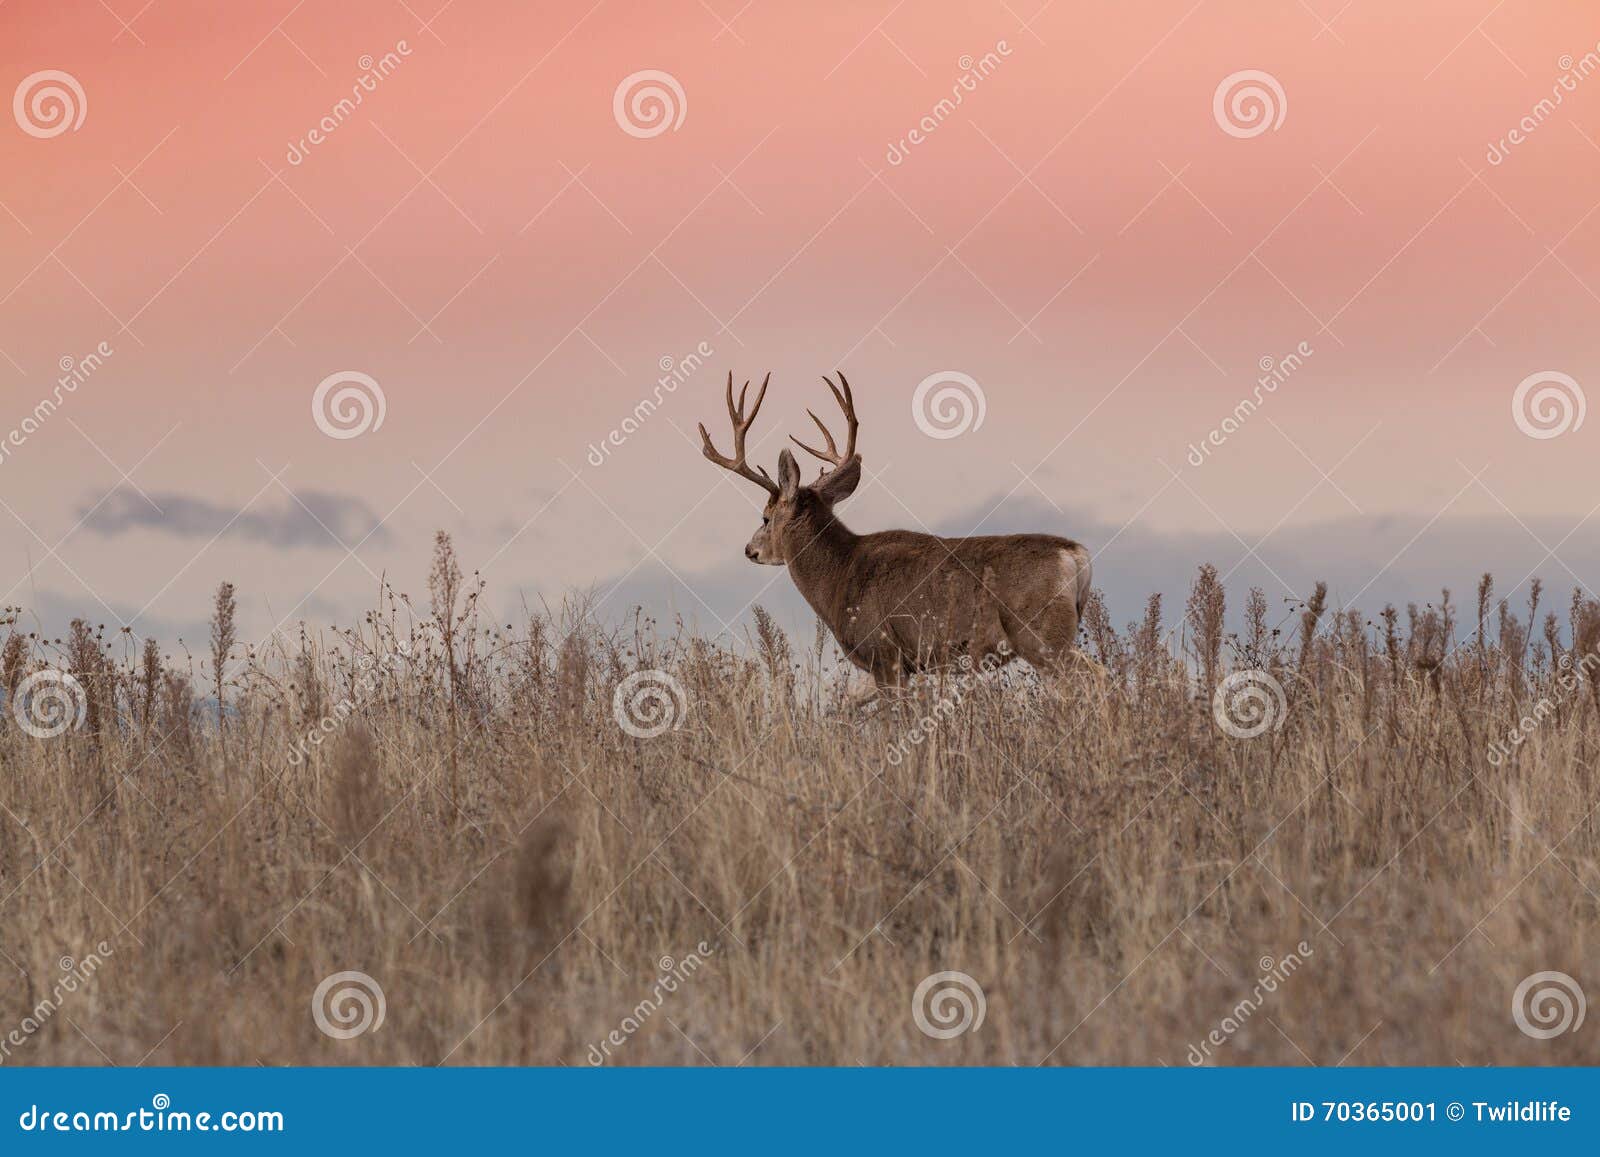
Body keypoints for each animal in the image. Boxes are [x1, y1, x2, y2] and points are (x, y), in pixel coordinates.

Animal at [698, 371, 1092, 693]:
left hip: (1040, 633)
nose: (749, 549)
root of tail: (1076, 555)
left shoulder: (883, 652)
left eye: (765, 517)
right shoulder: (903, 666)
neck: (838, 577)